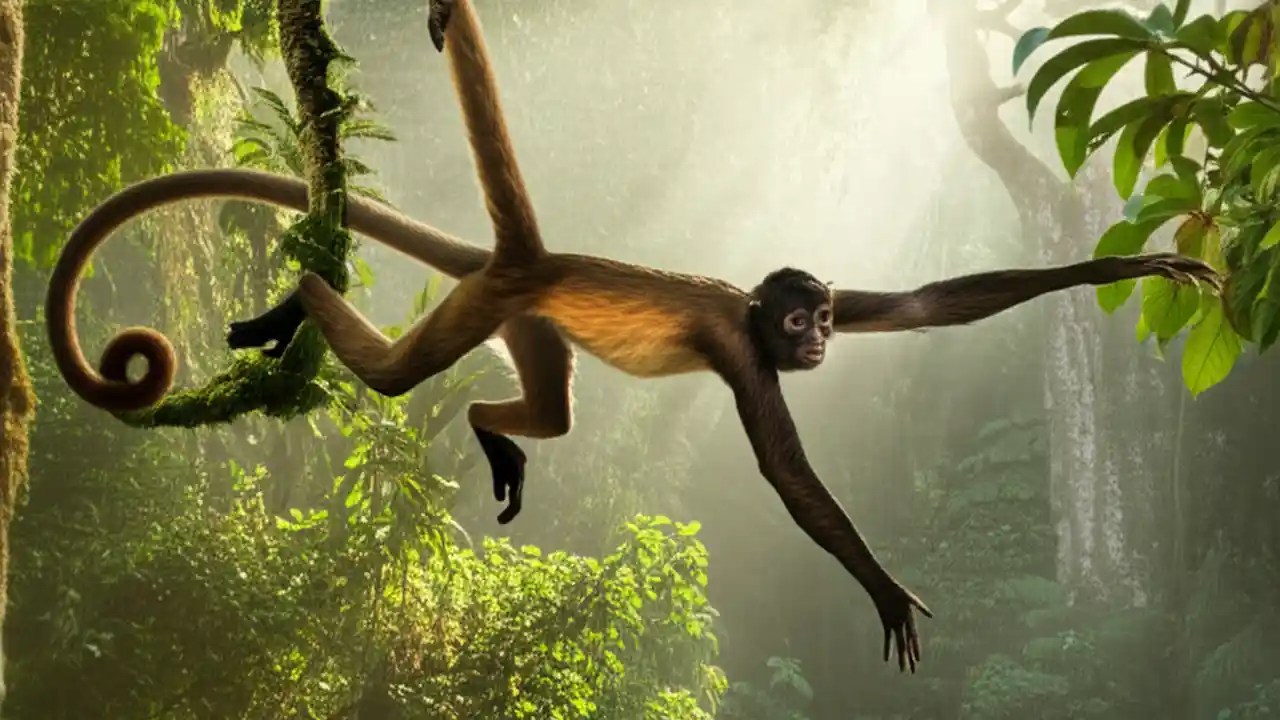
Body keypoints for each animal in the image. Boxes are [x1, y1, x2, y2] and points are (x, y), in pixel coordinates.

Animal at [44, 0, 1222, 673]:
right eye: (797, 320)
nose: (818, 343)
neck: (751, 313)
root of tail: (530, 261)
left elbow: (938, 302)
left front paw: (1134, 268)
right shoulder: (744, 353)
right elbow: (786, 474)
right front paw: (883, 590)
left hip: (521, 325)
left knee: (544, 404)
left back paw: (489, 424)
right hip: (481, 308)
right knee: (393, 379)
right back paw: (298, 298)